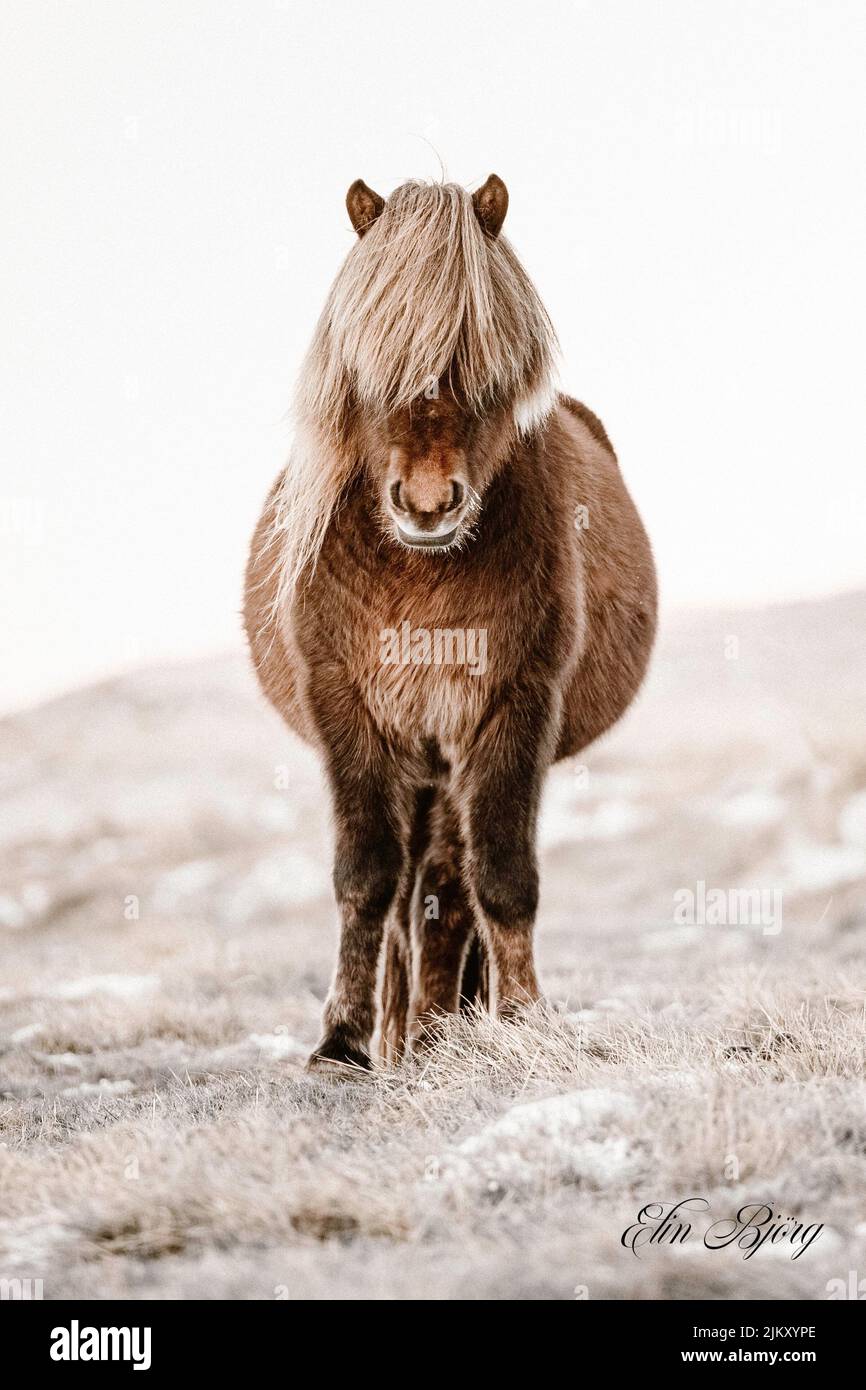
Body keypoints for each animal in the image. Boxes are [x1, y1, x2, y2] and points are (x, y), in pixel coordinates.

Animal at [244, 175, 657, 1073]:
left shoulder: (510, 710)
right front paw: (341, 1043)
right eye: (367, 362)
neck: (419, 572)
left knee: (444, 884)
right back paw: (407, 1033)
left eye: (488, 366)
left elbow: (499, 877)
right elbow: (365, 877)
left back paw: (442, 1028)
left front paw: (523, 1019)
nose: (429, 505)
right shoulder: (349, 714)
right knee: (411, 892)